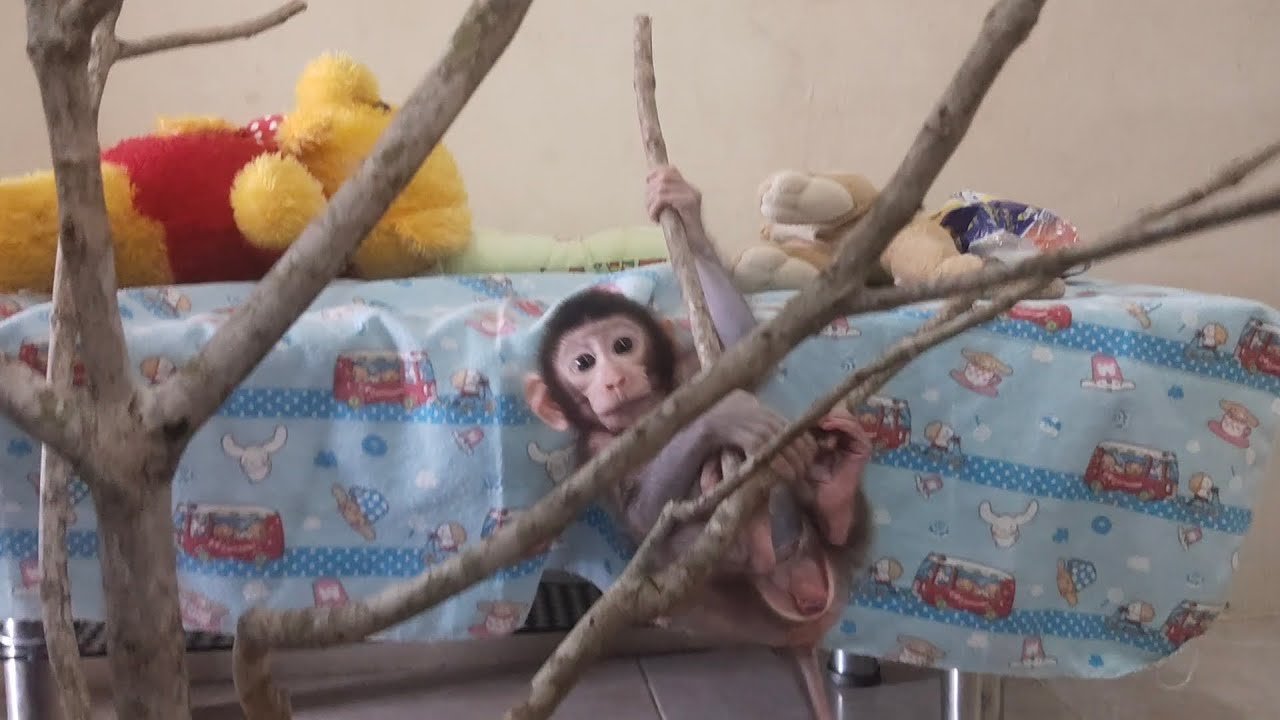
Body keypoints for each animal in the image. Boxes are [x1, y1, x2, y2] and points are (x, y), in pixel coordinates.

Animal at [523, 165, 874, 720]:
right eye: (582, 362)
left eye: (623, 344)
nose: (614, 378)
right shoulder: (594, 447)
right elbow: (640, 514)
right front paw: (723, 416)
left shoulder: (691, 370)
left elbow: (743, 348)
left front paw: (681, 206)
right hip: (728, 600)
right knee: (681, 545)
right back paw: (750, 530)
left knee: (826, 515)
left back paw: (836, 493)